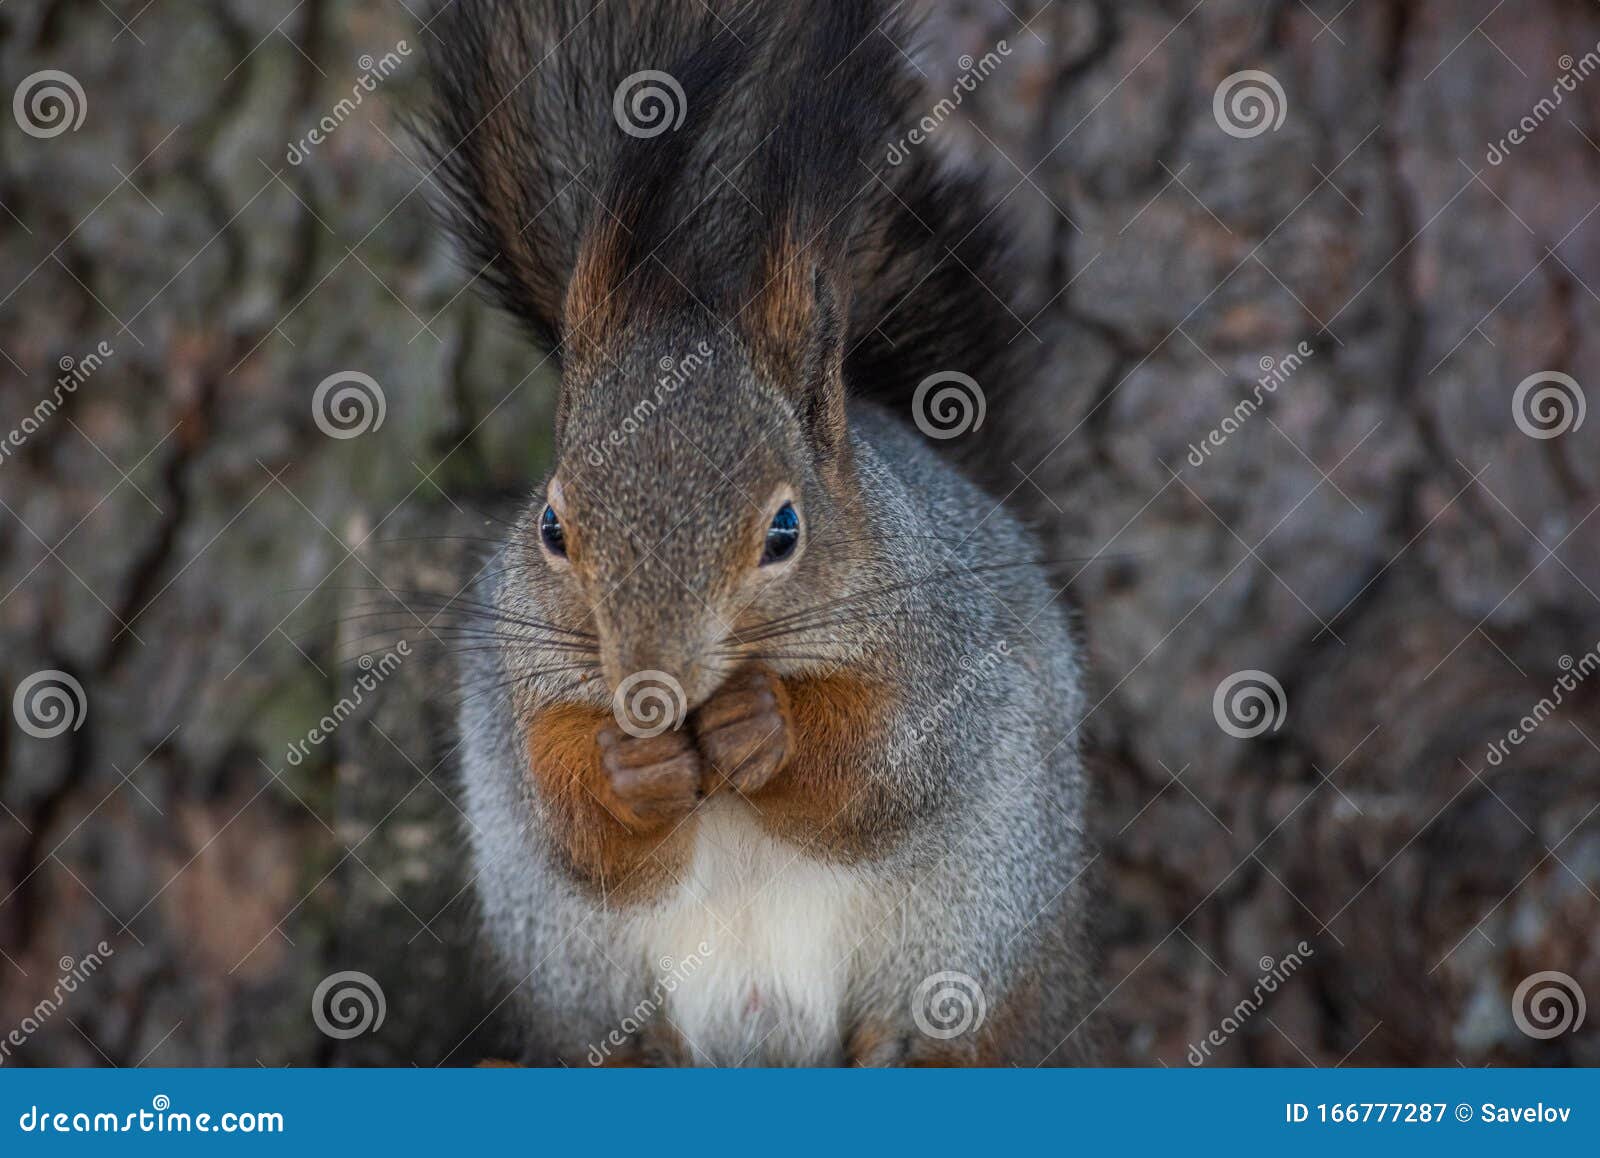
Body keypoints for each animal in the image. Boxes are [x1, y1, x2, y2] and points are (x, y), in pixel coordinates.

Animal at [424, 0, 1095, 1065]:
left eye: (785, 530)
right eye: (552, 527)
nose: (649, 692)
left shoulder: (943, 651)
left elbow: (877, 769)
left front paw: (763, 724)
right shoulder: (522, 693)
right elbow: (573, 826)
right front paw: (630, 765)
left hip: (975, 952)